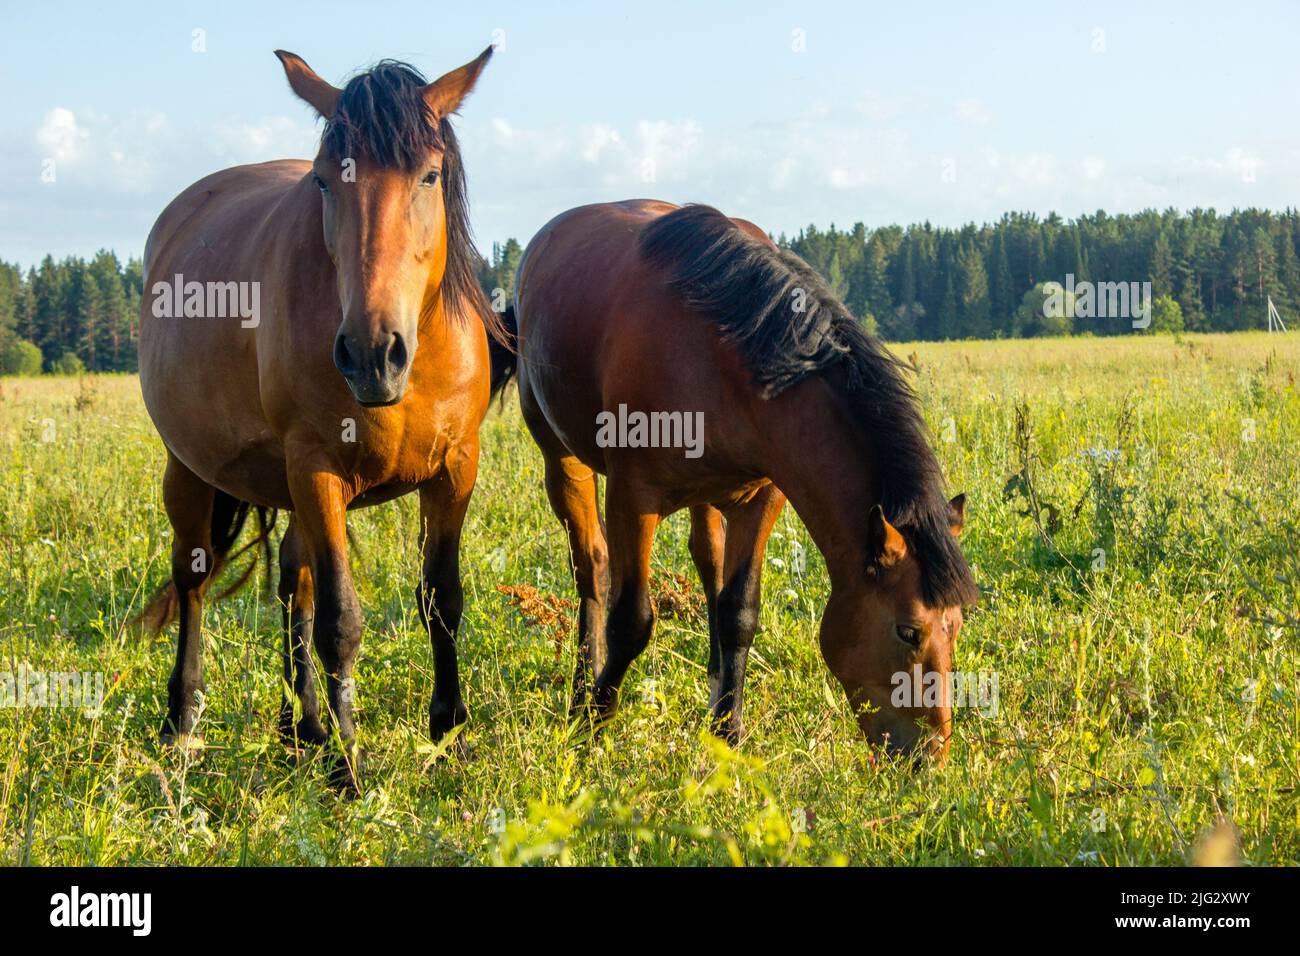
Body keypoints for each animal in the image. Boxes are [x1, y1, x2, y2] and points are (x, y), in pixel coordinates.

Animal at [136, 47, 504, 789]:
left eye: (430, 175)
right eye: (325, 183)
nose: (370, 354)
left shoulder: (455, 471)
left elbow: (441, 600)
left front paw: (448, 733)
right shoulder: (317, 471)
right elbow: (340, 620)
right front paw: (347, 765)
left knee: (291, 584)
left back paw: (298, 725)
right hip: (191, 471)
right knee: (194, 580)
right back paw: (184, 723)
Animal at [491, 201, 979, 760]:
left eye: (957, 626)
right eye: (908, 632)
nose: (930, 756)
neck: (723, 350)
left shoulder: (762, 498)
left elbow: (739, 611)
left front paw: (728, 730)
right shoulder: (633, 498)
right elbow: (631, 620)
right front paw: (597, 720)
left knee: (708, 561)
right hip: (562, 459)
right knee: (590, 566)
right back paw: (579, 693)